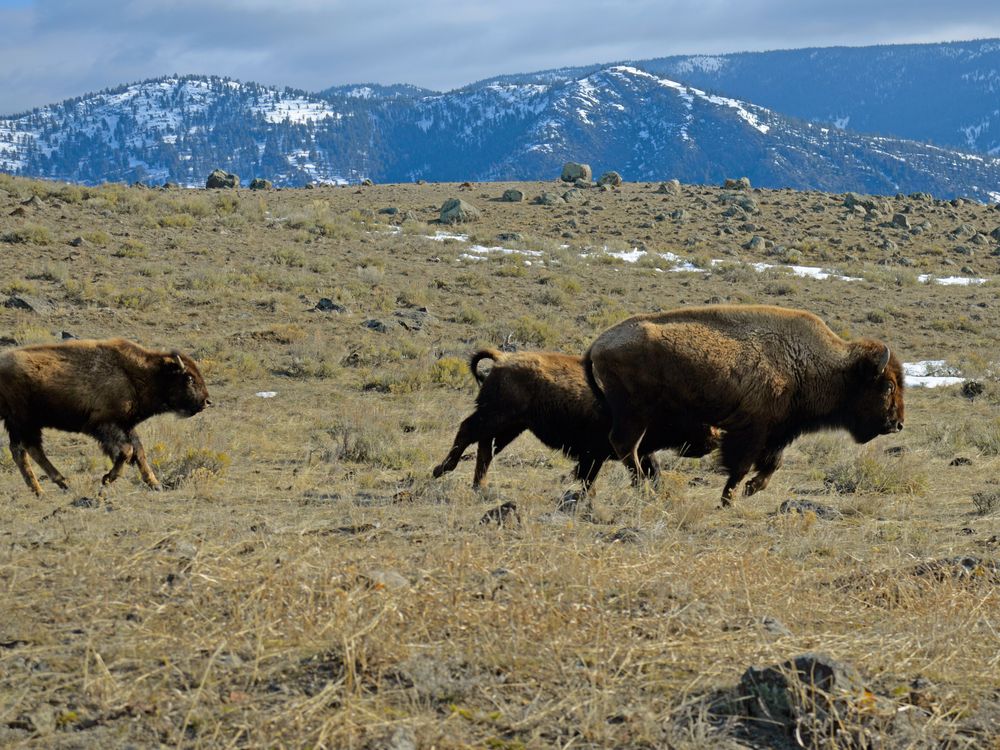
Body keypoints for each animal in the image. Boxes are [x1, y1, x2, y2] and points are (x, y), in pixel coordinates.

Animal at [0, 338, 210, 495]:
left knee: (21, 451)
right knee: (29, 449)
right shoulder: (104, 425)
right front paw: (107, 479)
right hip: (25, 421)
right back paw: (55, 485)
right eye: (189, 378)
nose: (207, 401)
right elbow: (127, 451)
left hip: (20, 424)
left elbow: (139, 452)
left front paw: (155, 484)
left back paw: (46, 488)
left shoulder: (126, 426)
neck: (135, 374)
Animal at [433, 347, 719, 491]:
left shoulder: (624, 451)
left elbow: (651, 470)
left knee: (486, 447)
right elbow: (593, 476)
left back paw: (479, 485)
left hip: (511, 425)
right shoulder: (601, 451)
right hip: (497, 417)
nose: (713, 440)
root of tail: (503, 360)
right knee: (468, 432)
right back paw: (442, 470)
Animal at [584, 304, 904, 506]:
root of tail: (598, 344)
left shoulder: (778, 432)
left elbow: (771, 464)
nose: (897, 423)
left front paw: (751, 490)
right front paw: (730, 499)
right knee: (627, 447)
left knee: (631, 450)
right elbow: (740, 466)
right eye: (888, 386)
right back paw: (645, 491)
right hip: (635, 413)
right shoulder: (752, 430)